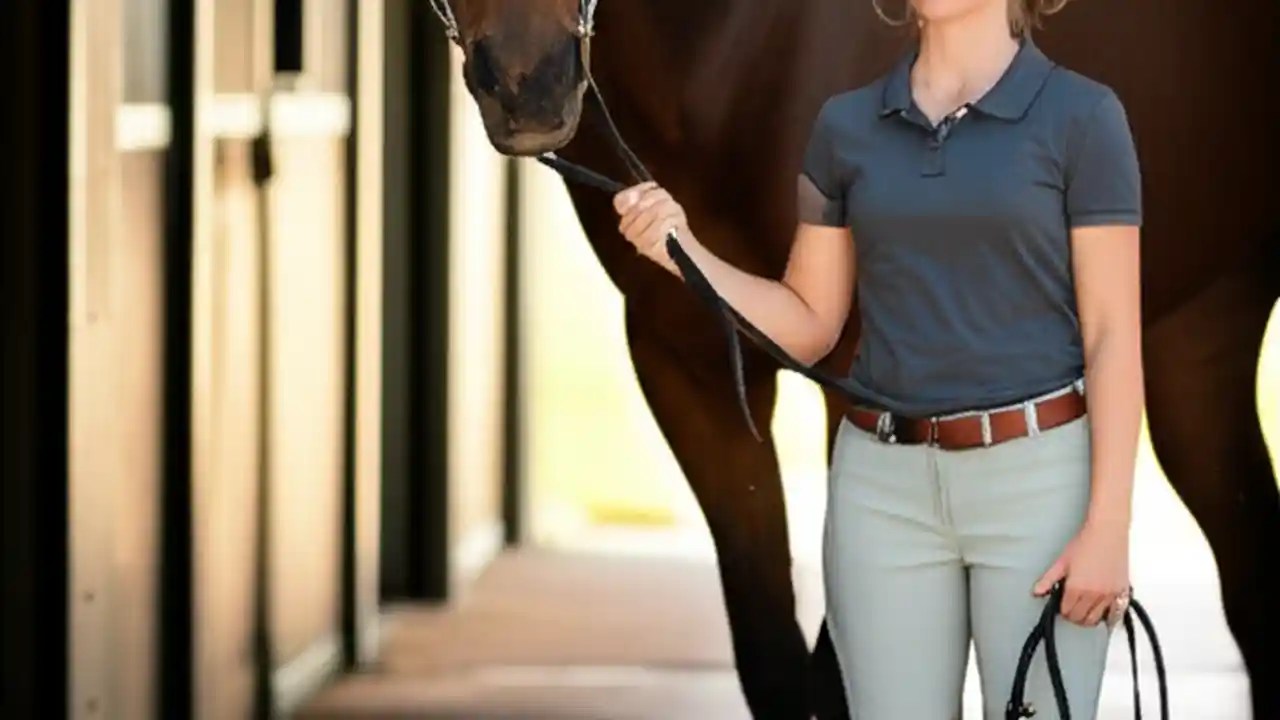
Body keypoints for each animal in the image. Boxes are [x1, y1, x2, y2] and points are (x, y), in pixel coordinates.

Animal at [431, 0, 1280, 716]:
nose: (529, 85)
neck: (727, 44)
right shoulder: (688, 359)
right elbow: (774, 652)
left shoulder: (854, 381)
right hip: (1198, 338)